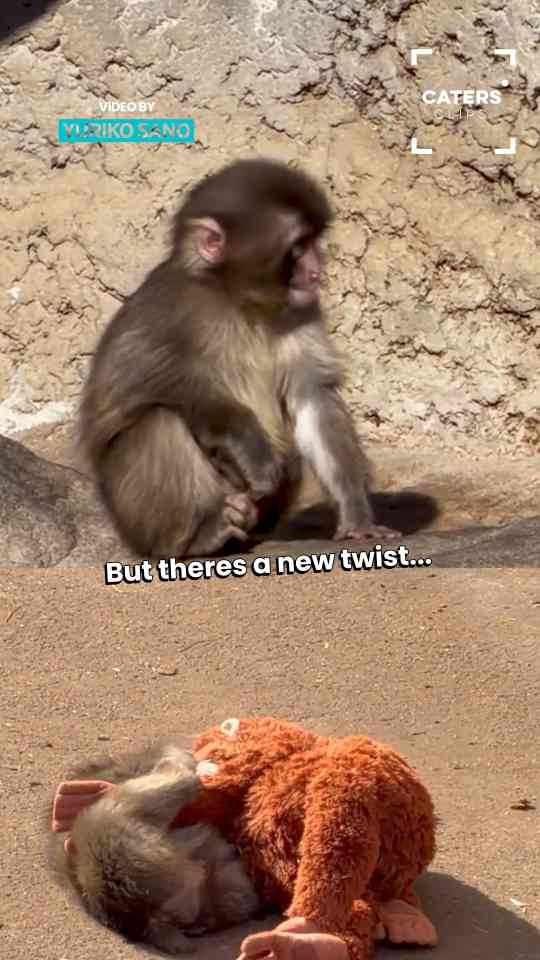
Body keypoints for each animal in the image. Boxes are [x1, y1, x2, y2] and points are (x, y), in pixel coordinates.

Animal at [79, 157, 399, 558]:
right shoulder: (170, 307)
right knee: (159, 421)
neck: (240, 301)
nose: (316, 272)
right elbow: (143, 385)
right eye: (298, 247)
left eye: (314, 241)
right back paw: (202, 535)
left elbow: (313, 398)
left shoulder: (300, 310)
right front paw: (251, 445)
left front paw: (356, 518)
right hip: (131, 515)